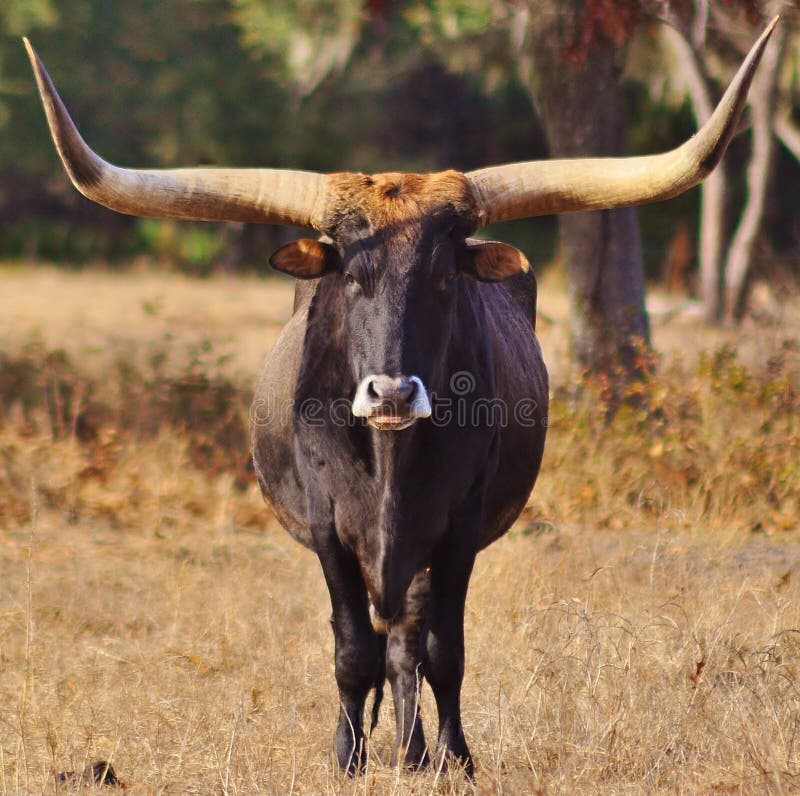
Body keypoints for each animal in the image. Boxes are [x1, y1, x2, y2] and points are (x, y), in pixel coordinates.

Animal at [25, 19, 776, 777]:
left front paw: (452, 758)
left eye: (444, 276)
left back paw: (414, 750)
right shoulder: (327, 528)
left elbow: (441, 651)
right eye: (351, 275)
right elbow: (352, 651)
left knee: (408, 645)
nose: (390, 391)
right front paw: (347, 757)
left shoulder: (458, 529)